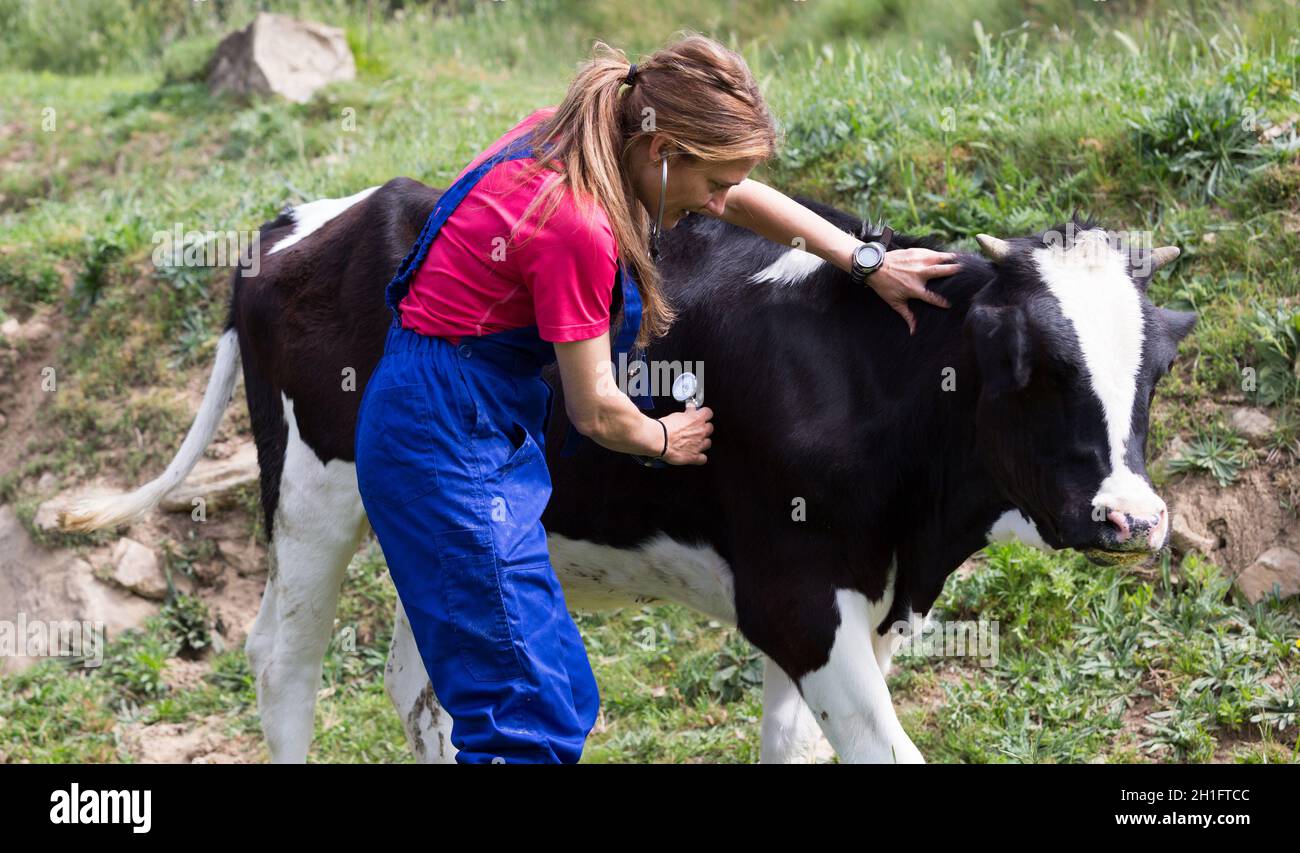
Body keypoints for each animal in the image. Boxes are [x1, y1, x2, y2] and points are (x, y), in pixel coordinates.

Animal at [61, 175, 1192, 763]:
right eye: (1032, 366)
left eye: (1152, 372)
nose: (1132, 518)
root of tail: (304, 219)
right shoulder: (796, 597)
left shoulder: (852, 604)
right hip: (311, 495)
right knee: (284, 663)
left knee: (424, 684)